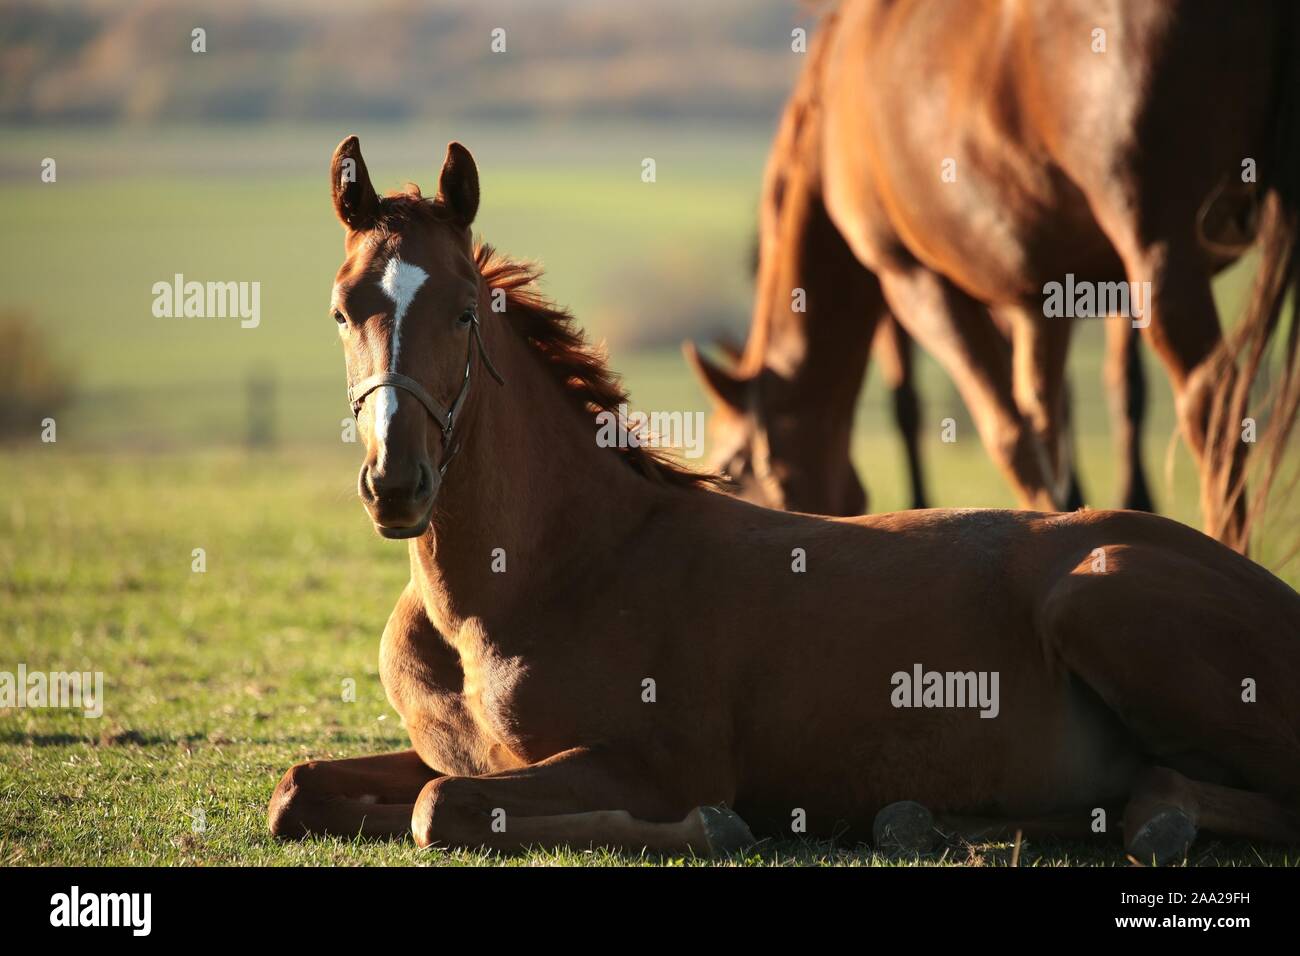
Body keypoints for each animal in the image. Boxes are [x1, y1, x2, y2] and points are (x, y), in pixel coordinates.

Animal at [268, 136, 1300, 864]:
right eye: (342, 310)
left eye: (464, 312)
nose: (396, 484)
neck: (535, 579)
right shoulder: (454, 750)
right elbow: (300, 788)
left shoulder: (656, 762)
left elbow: (443, 808)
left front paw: (717, 828)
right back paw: (932, 824)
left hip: (1100, 595)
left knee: (1204, 795)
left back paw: (1148, 817)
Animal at [692, 0, 1298, 551]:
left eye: (736, 471)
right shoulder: (1044, 300)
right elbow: (1046, 431)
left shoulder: (914, 282)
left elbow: (1010, 437)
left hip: (1159, 254)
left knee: (1212, 409)